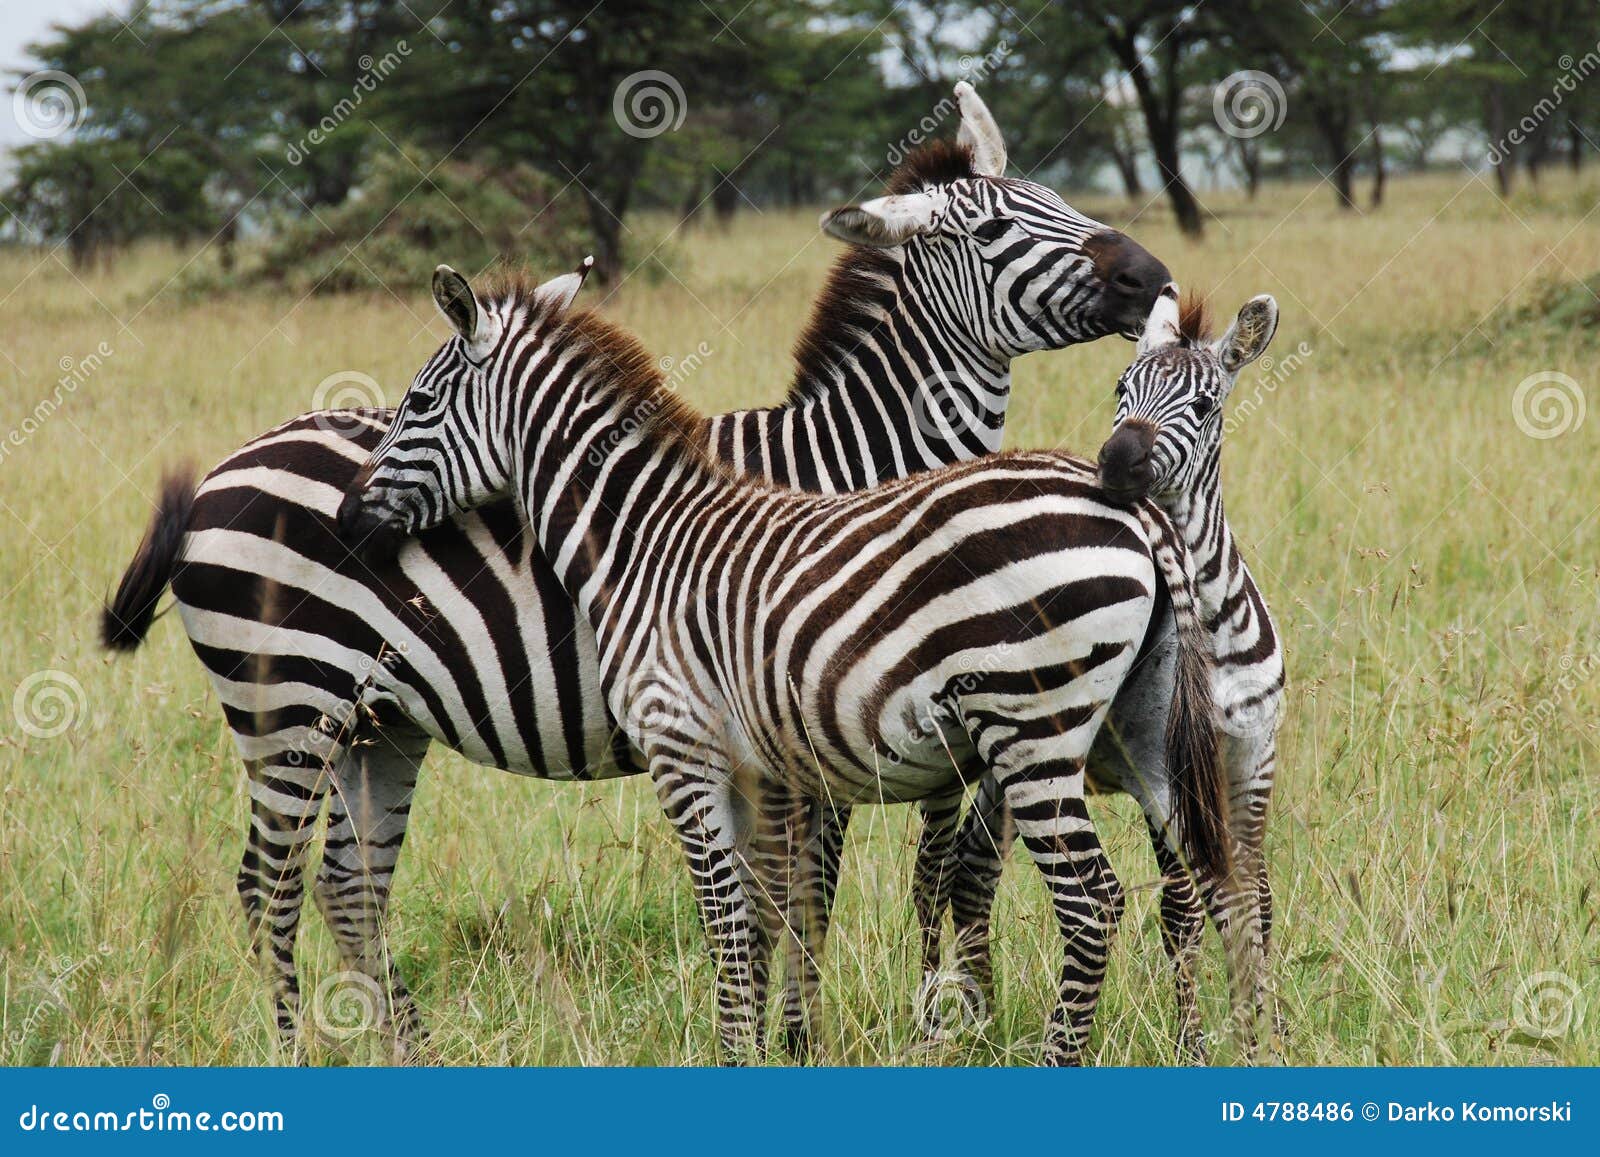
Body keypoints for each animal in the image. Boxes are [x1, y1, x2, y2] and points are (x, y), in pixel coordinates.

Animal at [335, 263, 1229, 1064]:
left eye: (418, 404)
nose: (346, 523)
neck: (640, 540)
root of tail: (1138, 514)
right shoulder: (752, 765)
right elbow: (765, 915)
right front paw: (770, 1046)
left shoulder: (681, 746)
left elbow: (726, 919)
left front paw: (737, 1055)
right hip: (1143, 732)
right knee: (1191, 881)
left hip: (1030, 726)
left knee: (1093, 901)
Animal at [940, 285, 1286, 1060]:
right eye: (1121, 388)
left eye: (1206, 403)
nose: (1117, 459)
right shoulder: (1166, 766)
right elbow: (1185, 909)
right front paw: (1195, 1044)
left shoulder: (1252, 761)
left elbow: (1254, 899)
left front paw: (1267, 1031)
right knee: (953, 869)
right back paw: (969, 1020)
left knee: (970, 865)